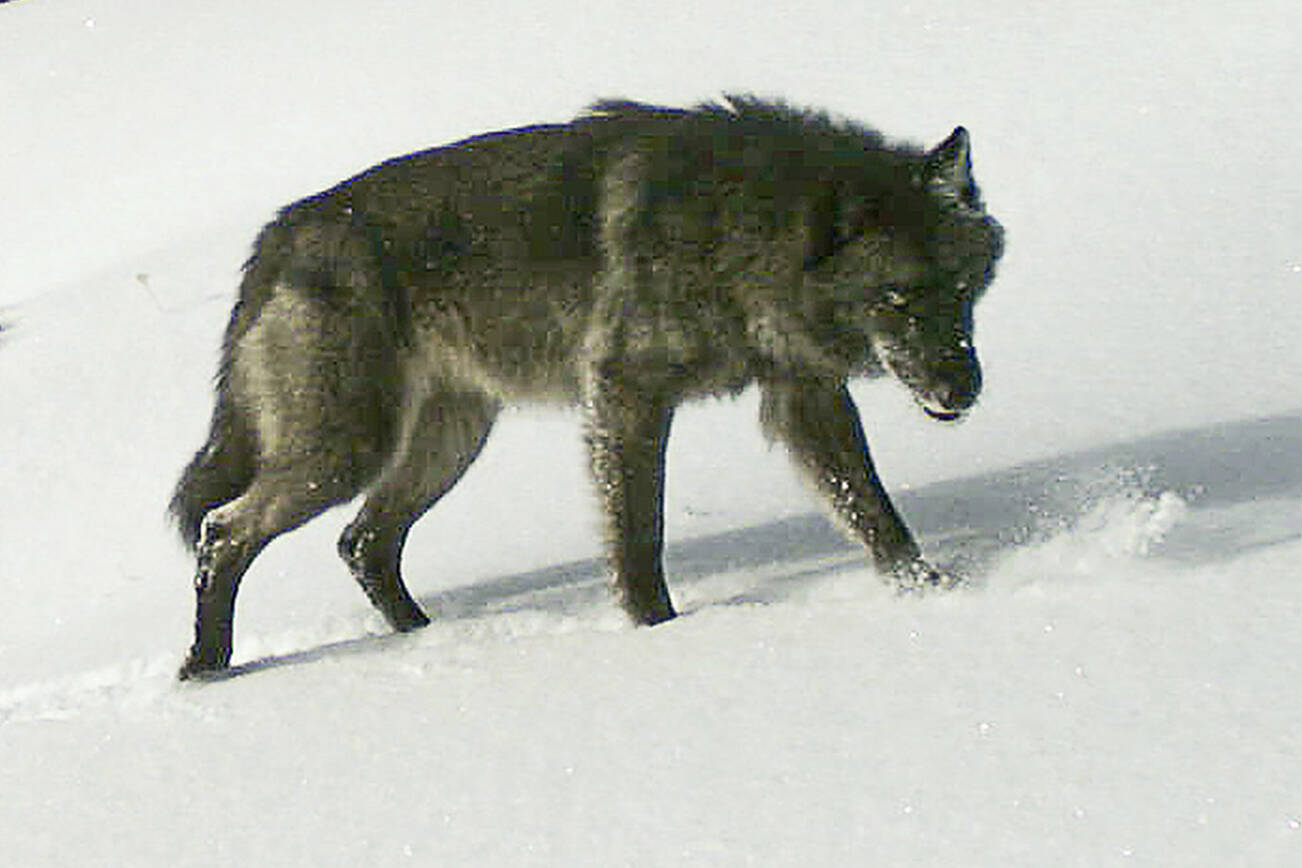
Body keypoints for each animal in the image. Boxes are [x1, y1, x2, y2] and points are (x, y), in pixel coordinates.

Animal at [171, 96, 1004, 679]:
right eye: (897, 299)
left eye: (964, 291)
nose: (962, 390)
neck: (742, 230)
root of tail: (281, 231)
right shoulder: (626, 397)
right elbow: (637, 536)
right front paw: (658, 634)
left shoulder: (804, 397)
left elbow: (874, 514)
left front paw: (932, 593)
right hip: (348, 452)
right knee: (223, 532)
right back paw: (205, 670)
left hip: (449, 443)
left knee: (363, 542)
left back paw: (430, 639)